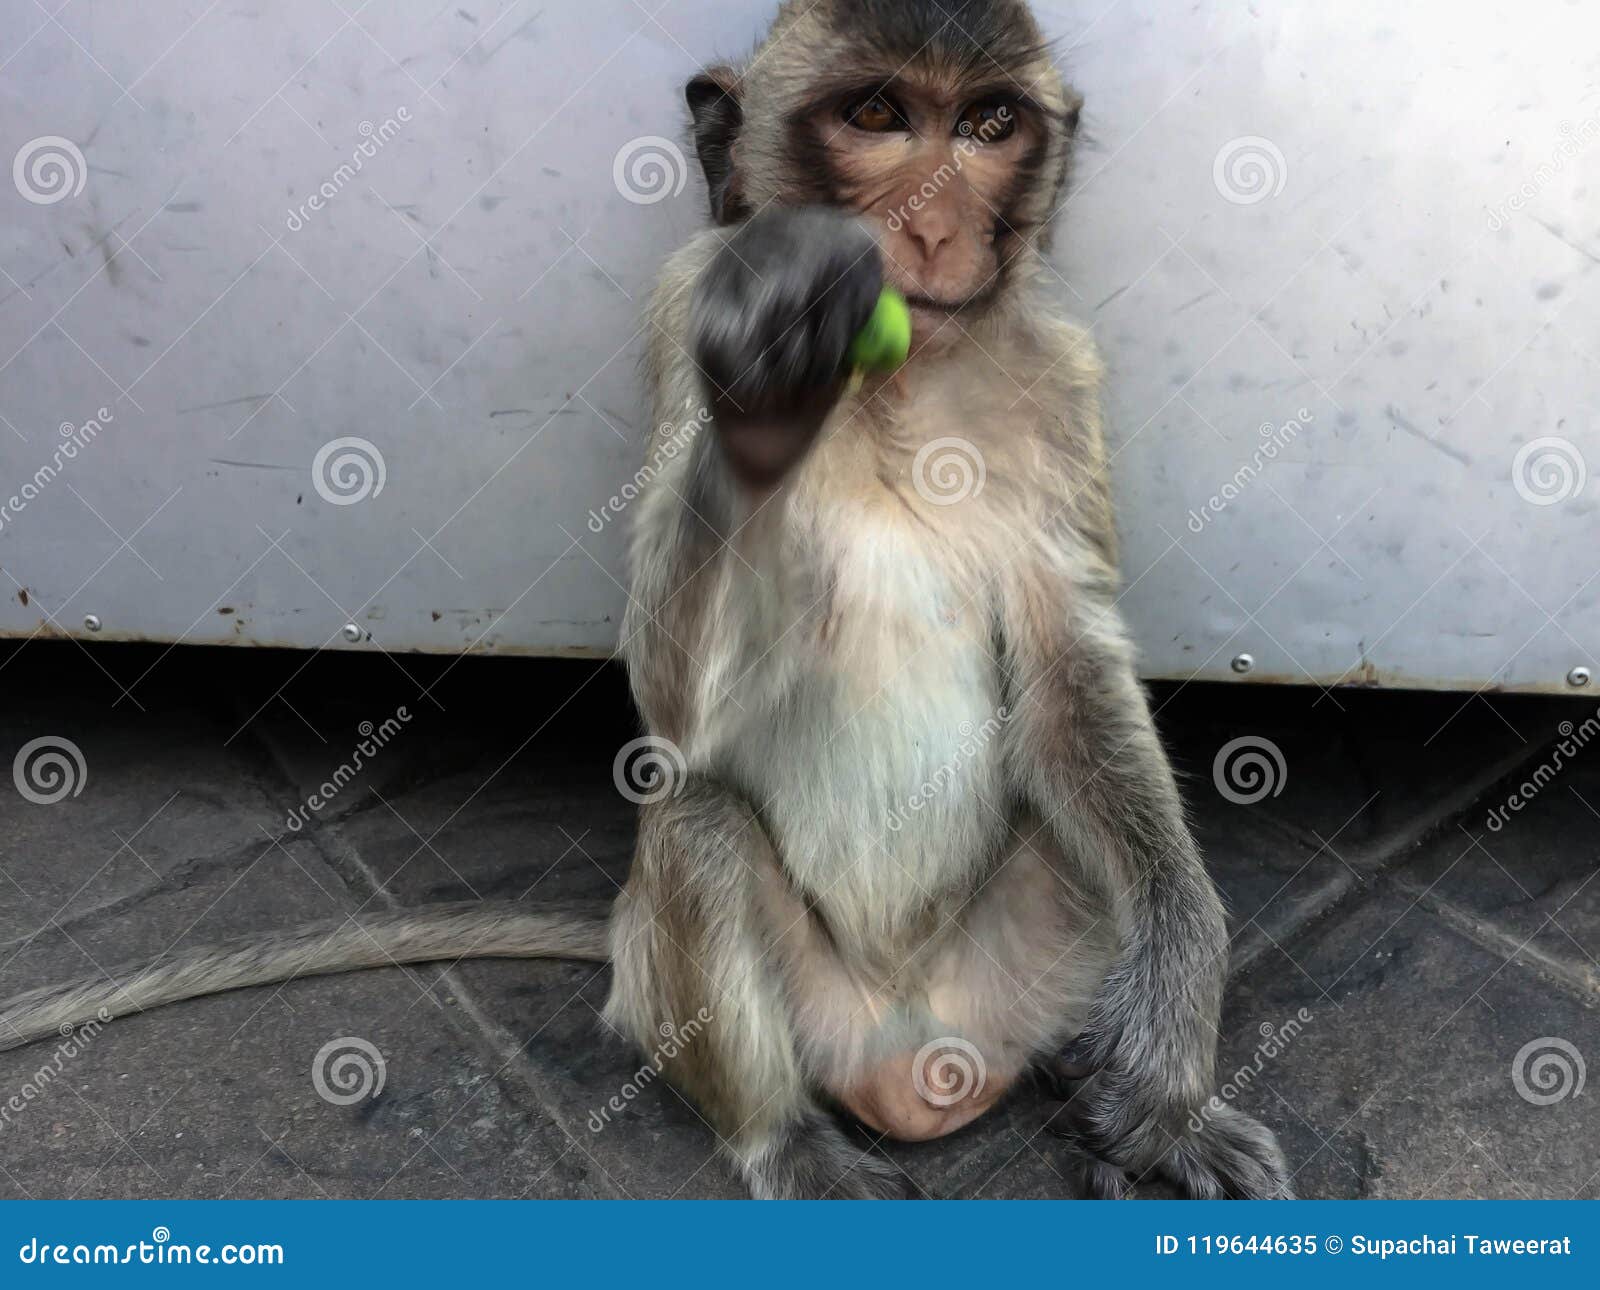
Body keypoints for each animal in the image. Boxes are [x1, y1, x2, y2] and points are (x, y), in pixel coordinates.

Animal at [0, 0, 1292, 1201]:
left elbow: (1068, 660)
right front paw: (768, 397)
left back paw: (1127, 1085)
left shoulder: (1060, 372)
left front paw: (1175, 1036)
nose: (932, 225)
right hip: (774, 1014)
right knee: (700, 823)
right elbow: (676, 714)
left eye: (985, 125)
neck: (899, 387)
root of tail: (916, 1059)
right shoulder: (685, 307)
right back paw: (788, 1143)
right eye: (878, 115)